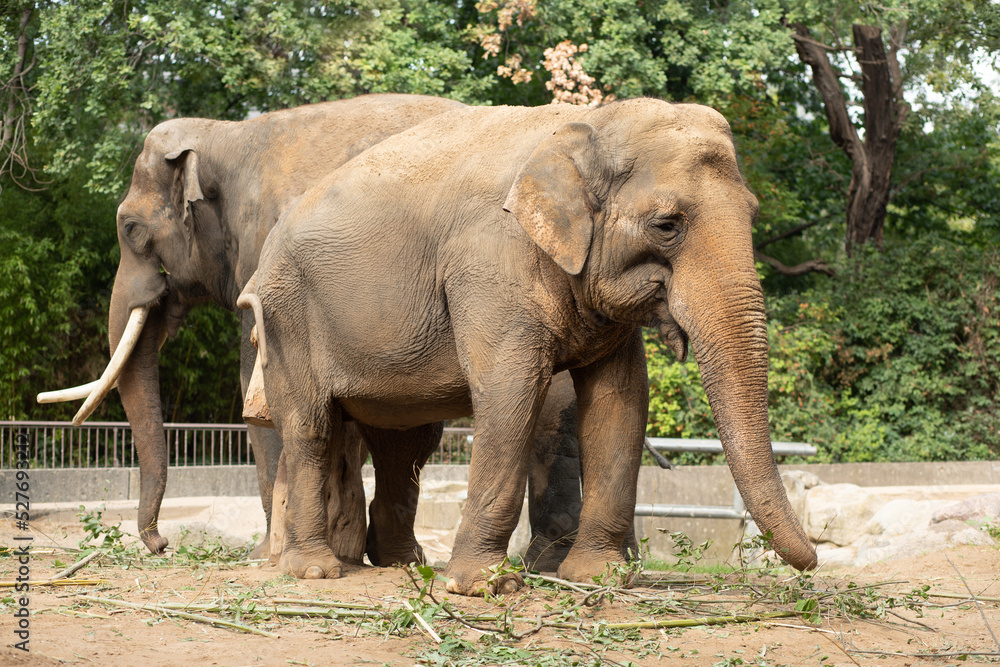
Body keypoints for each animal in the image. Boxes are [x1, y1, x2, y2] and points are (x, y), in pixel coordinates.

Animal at [239, 98, 818, 596]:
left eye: (752, 214)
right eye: (666, 224)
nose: (813, 562)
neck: (591, 123)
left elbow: (621, 400)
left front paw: (597, 578)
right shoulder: (491, 263)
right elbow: (510, 392)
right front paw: (482, 586)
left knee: (402, 443)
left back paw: (398, 564)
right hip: (289, 313)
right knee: (312, 427)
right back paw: (314, 570)